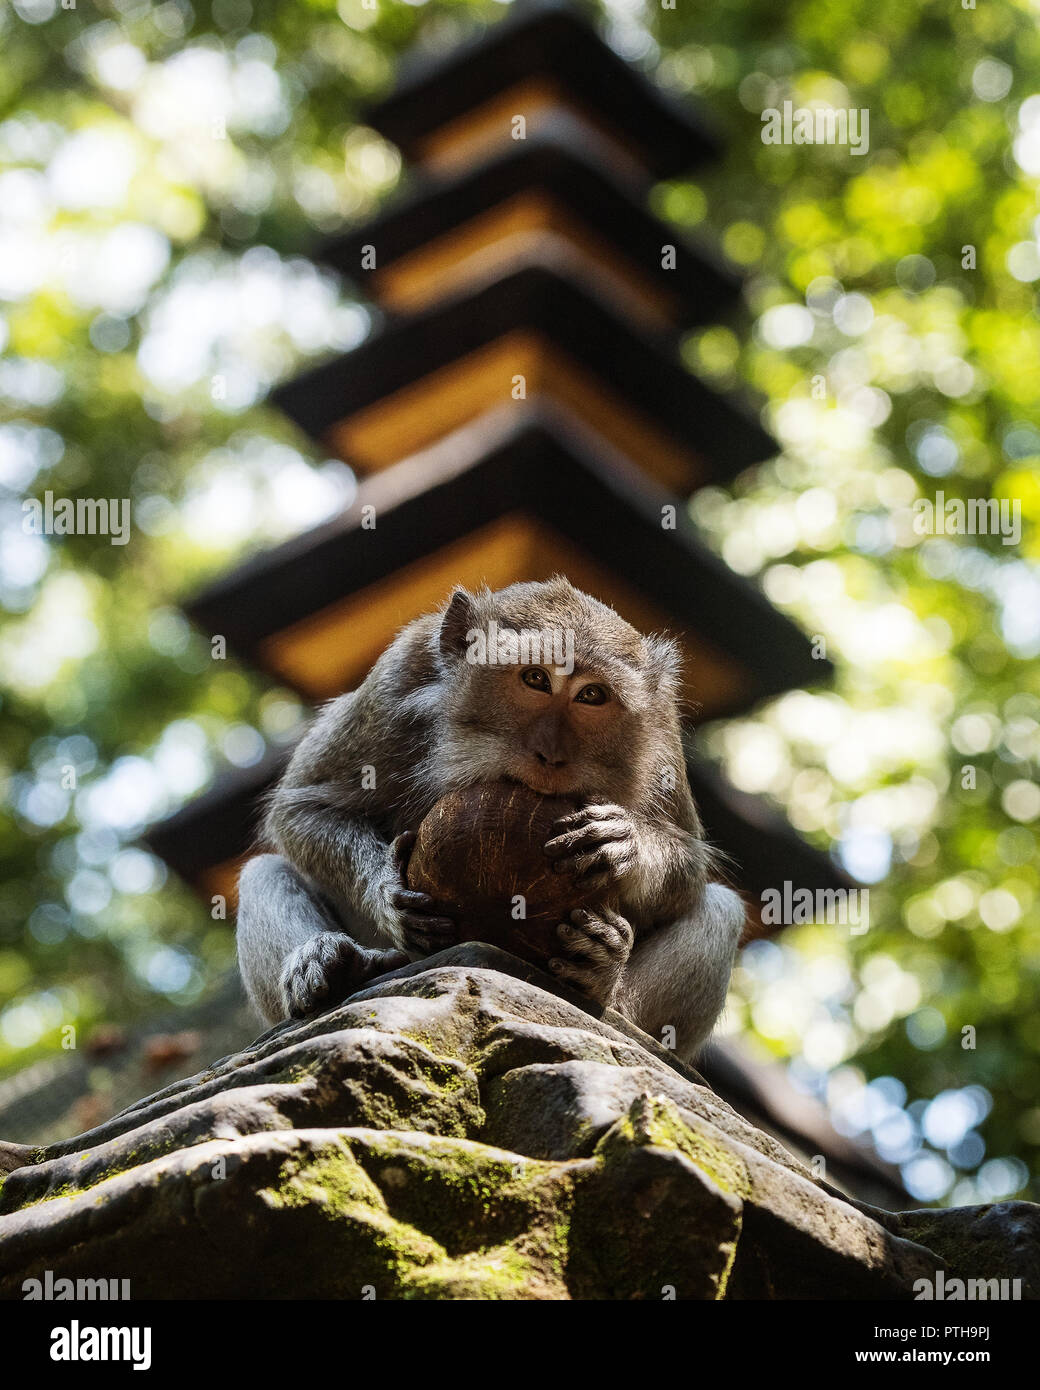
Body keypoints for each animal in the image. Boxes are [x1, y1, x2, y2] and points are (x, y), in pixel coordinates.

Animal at [236, 577, 745, 1061]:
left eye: (592, 695)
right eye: (536, 678)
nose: (550, 754)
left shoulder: (660, 724)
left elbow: (688, 867)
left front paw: (625, 844)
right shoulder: (395, 681)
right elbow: (306, 806)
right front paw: (386, 891)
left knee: (720, 909)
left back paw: (602, 978)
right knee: (266, 870)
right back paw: (330, 966)